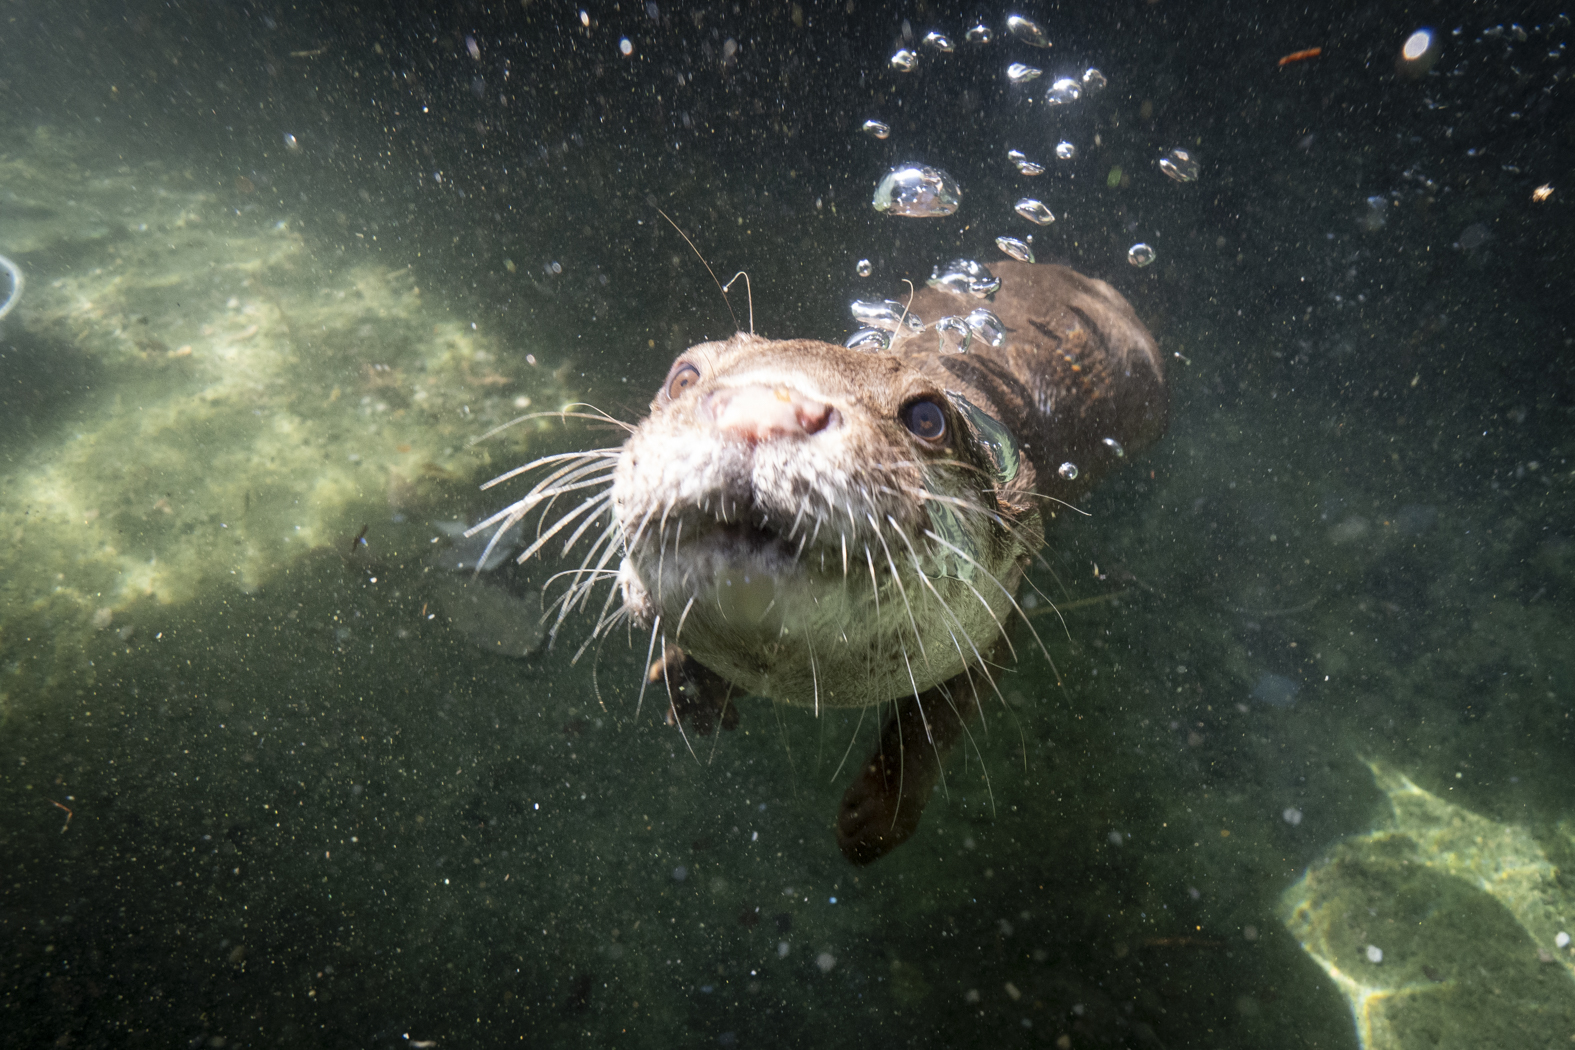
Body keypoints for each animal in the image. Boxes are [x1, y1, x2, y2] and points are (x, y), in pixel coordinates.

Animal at [476, 260, 1166, 864]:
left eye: (928, 417)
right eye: (685, 376)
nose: (762, 408)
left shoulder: (998, 620)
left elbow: (935, 724)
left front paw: (874, 818)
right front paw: (691, 686)